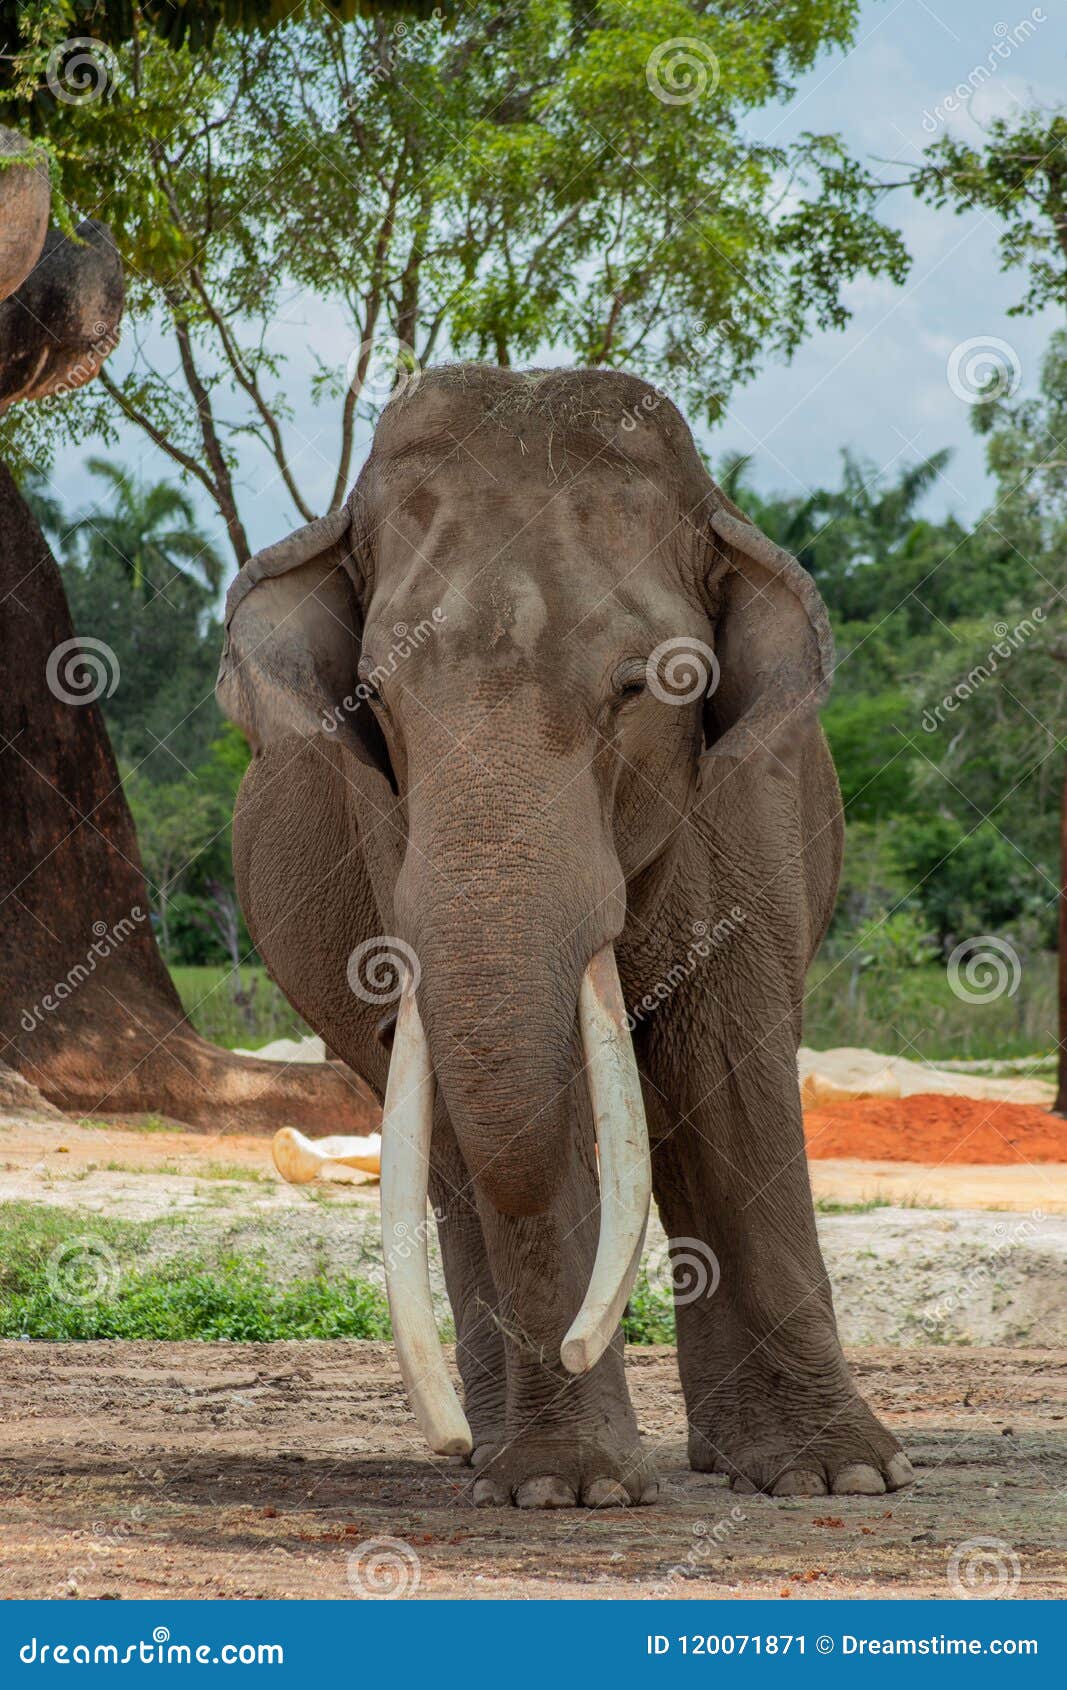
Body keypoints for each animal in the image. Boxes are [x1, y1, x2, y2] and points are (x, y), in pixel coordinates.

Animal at [217, 363, 914, 1508]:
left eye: (643, 687)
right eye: (377, 700)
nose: (581, 1340)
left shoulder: (745, 806)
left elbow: (727, 1066)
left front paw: (840, 1475)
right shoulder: (385, 833)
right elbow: (509, 1108)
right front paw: (564, 1488)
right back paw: (500, 1453)